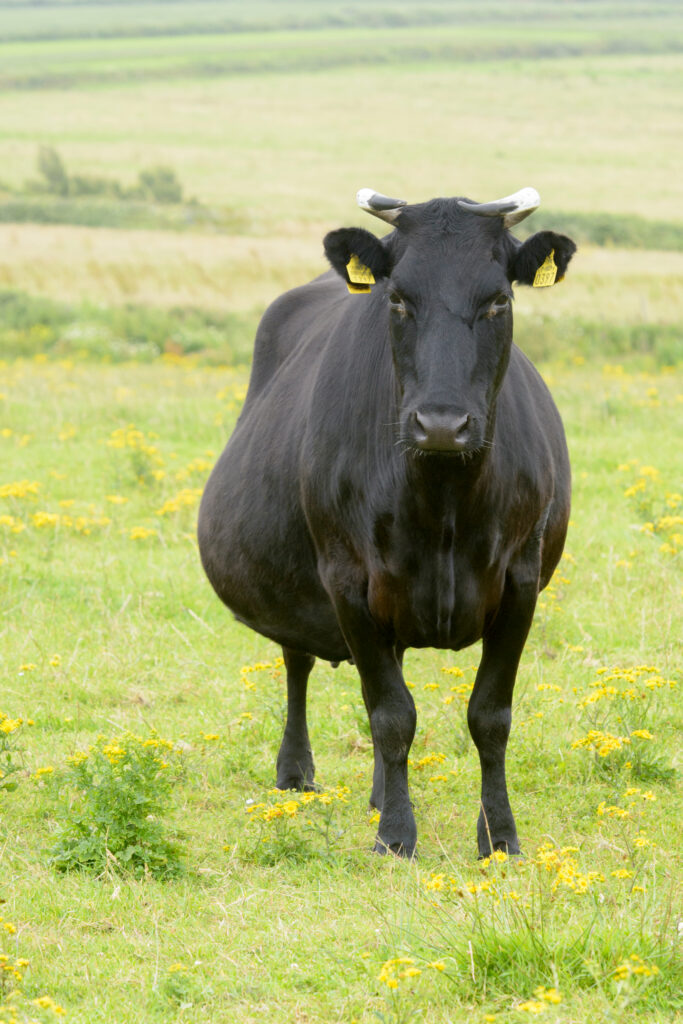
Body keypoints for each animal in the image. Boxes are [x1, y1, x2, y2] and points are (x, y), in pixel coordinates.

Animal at [198, 187, 576, 858]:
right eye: (397, 299)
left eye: (499, 300)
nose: (442, 423)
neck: (444, 499)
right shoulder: (346, 578)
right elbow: (392, 713)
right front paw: (397, 834)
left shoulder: (521, 580)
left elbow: (490, 715)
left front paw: (498, 834)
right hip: (297, 582)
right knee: (298, 662)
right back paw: (296, 774)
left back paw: (377, 793)